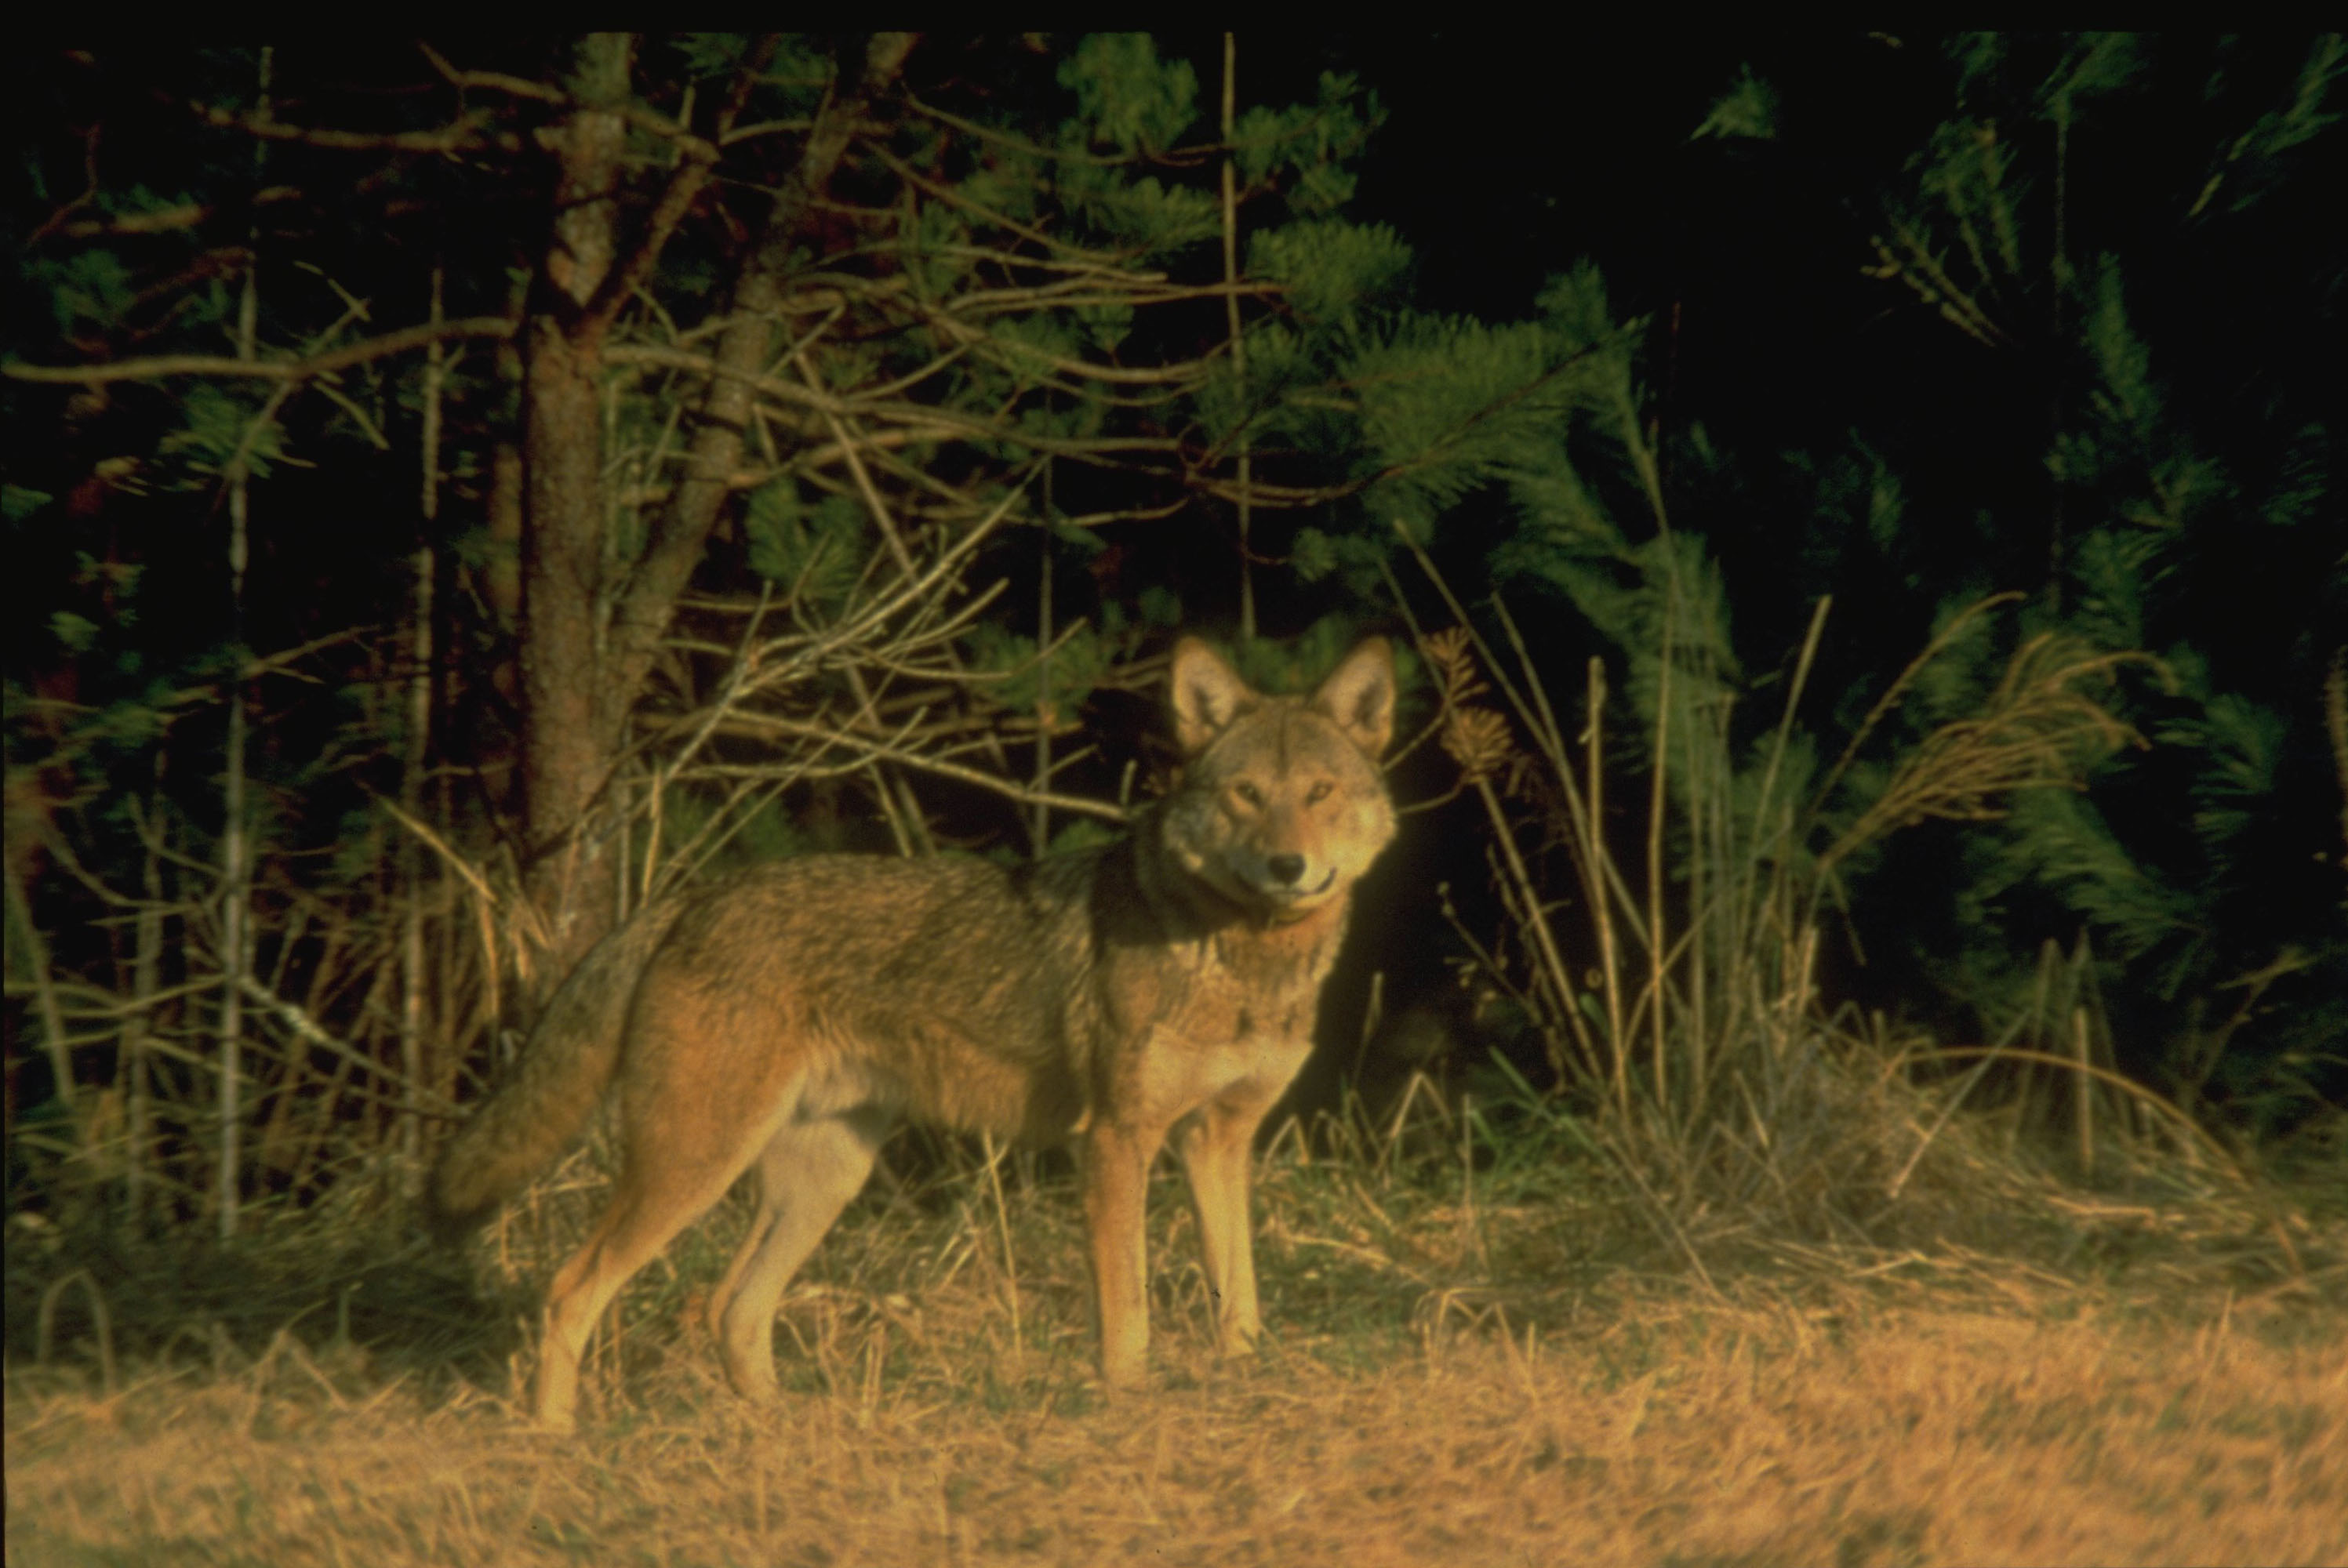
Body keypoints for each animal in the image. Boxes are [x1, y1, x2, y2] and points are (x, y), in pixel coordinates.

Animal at [427, 636, 1398, 1431]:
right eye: (1246, 795)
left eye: (1319, 794)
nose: (1288, 865)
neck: (1243, 959)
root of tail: (691, 897)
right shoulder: (1116, 1138)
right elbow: (1128, 1306)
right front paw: (1129, 1399)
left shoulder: (1219, 1138)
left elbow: (1240, 1290)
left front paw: (1246, 1379)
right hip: (695, 1163)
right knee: (573, 1289)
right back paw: (554, 1439)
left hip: (822, 1178)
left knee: (730, 1306)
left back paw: (787, 1426)